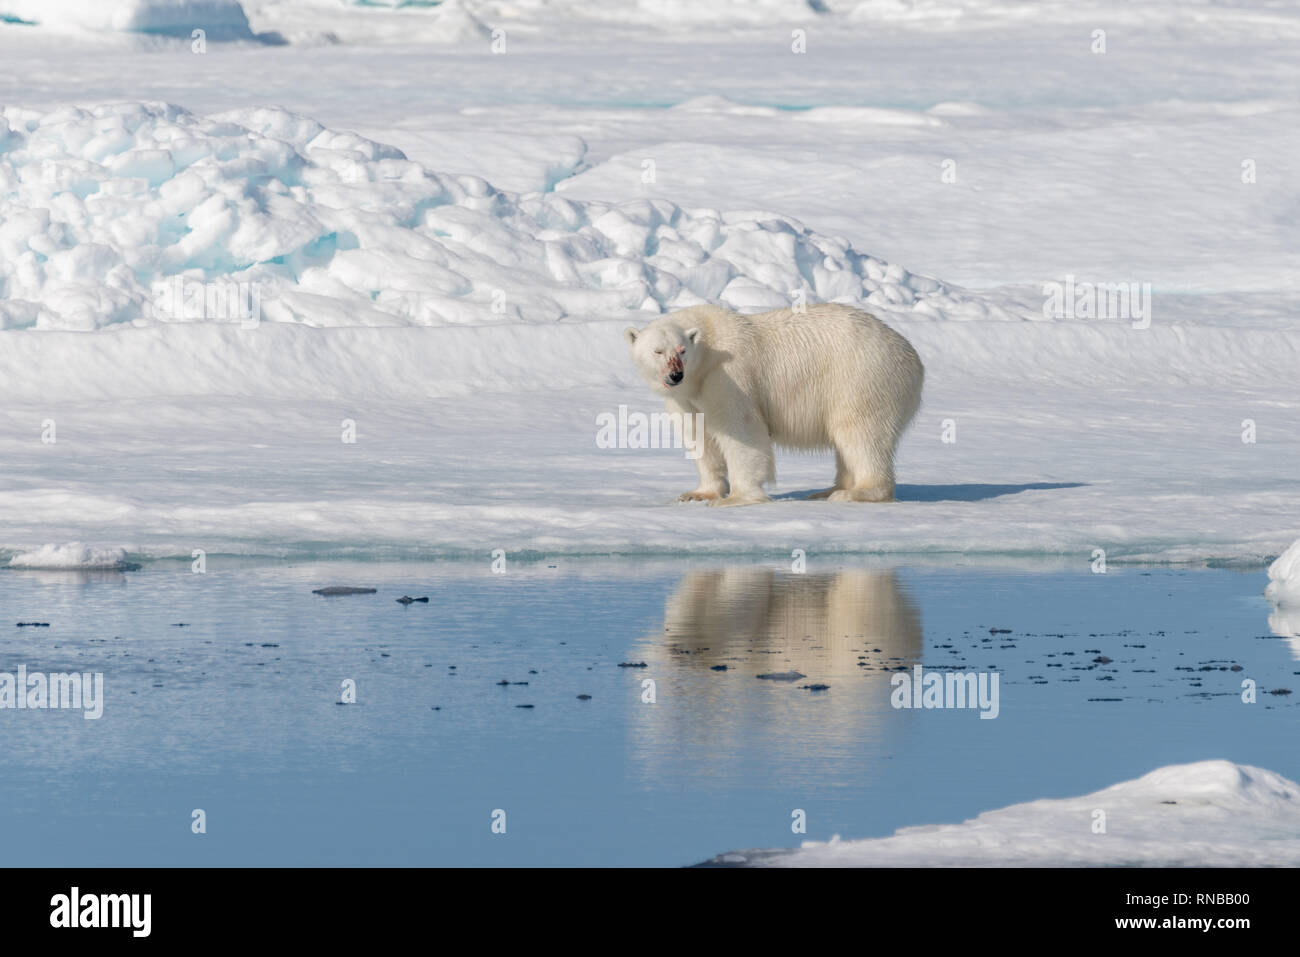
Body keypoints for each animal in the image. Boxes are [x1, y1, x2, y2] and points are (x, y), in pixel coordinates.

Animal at [624, 303, 923, 507]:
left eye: (682, 350)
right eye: (658, 351)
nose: (675, 375)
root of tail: (913, 358)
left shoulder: (728, 377)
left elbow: (741, 430)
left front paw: (735, 498)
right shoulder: (687, 397)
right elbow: (700, 437)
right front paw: (697, 493)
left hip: (862, 378)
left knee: (861, 434)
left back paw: (855, 492)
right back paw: (826, 491)